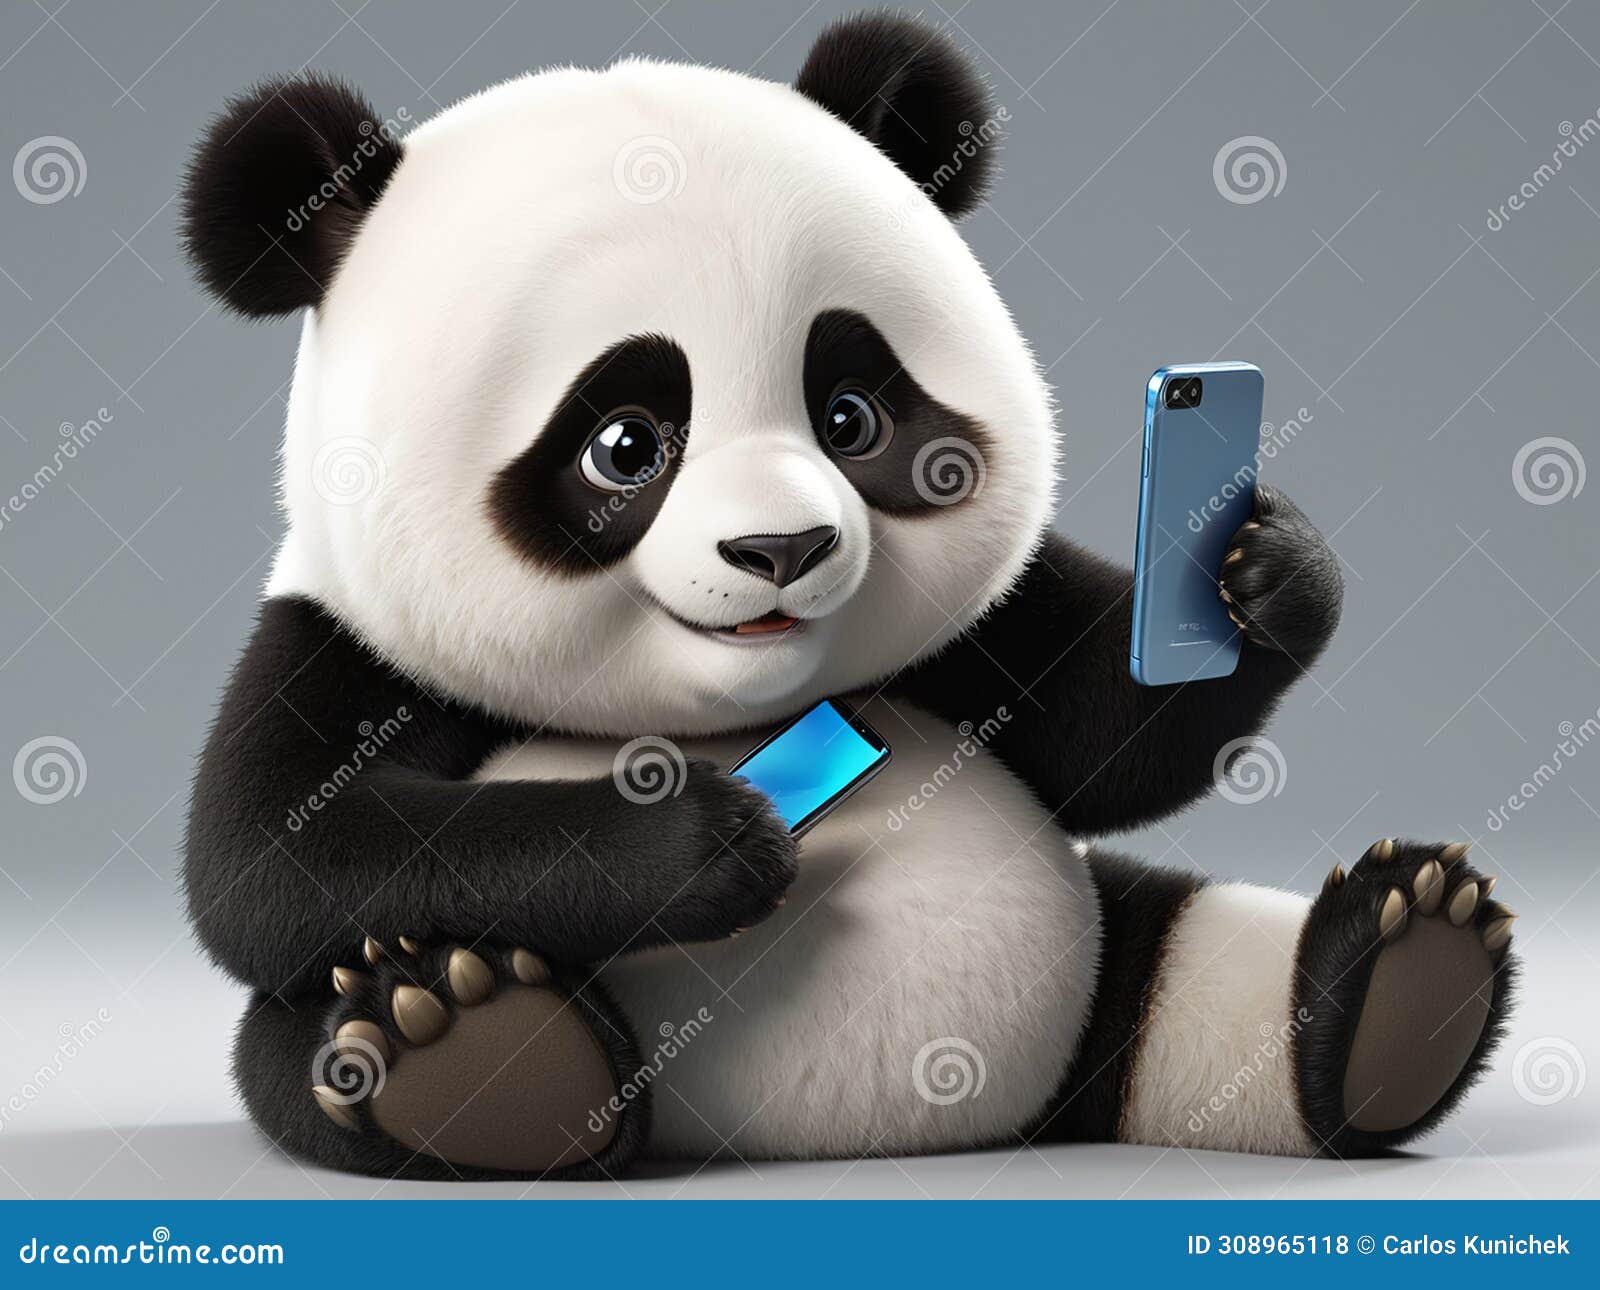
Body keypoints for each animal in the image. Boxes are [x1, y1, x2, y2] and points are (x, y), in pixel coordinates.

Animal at [180, 13, 1516, 1181]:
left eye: (851, 417)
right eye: (623, 445)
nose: (783, 546)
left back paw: (1407, 973)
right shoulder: (338, 642)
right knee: (314, 1032)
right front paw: (706, 839)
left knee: (1192, 955)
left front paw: (1263, 570)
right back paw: (476, 1051)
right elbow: (277, 861)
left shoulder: (982, 637)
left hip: (1102, 967)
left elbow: (1106, 736)